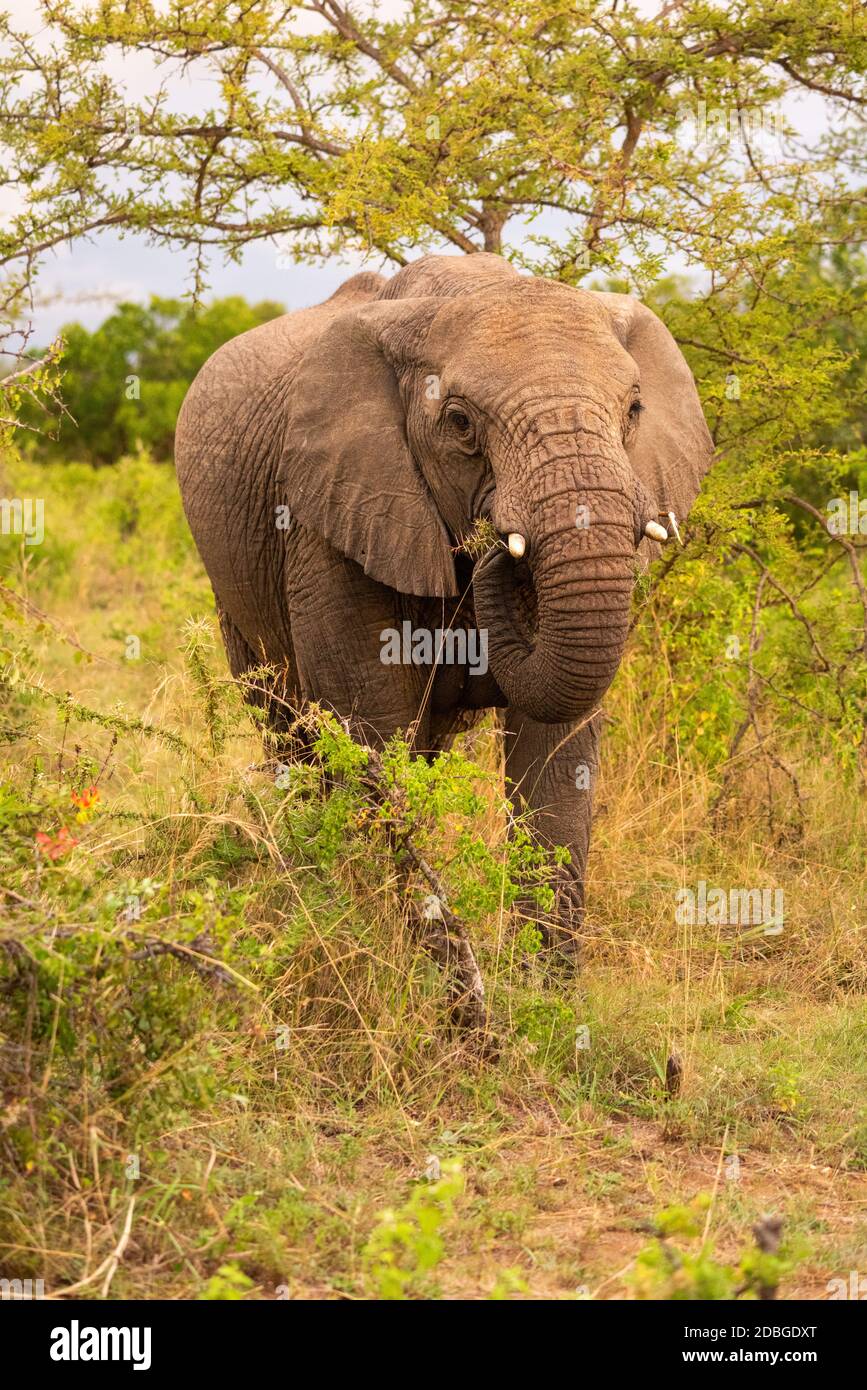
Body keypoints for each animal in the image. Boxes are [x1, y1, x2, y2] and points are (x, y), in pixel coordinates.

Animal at [175, 253, 713, 960]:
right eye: (459, 423)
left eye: (634, 409)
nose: (494, 547)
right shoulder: (329, 512)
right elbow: (371, 727)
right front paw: (428, 966)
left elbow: (556, 748)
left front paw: (538, 987)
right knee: (288, 729)